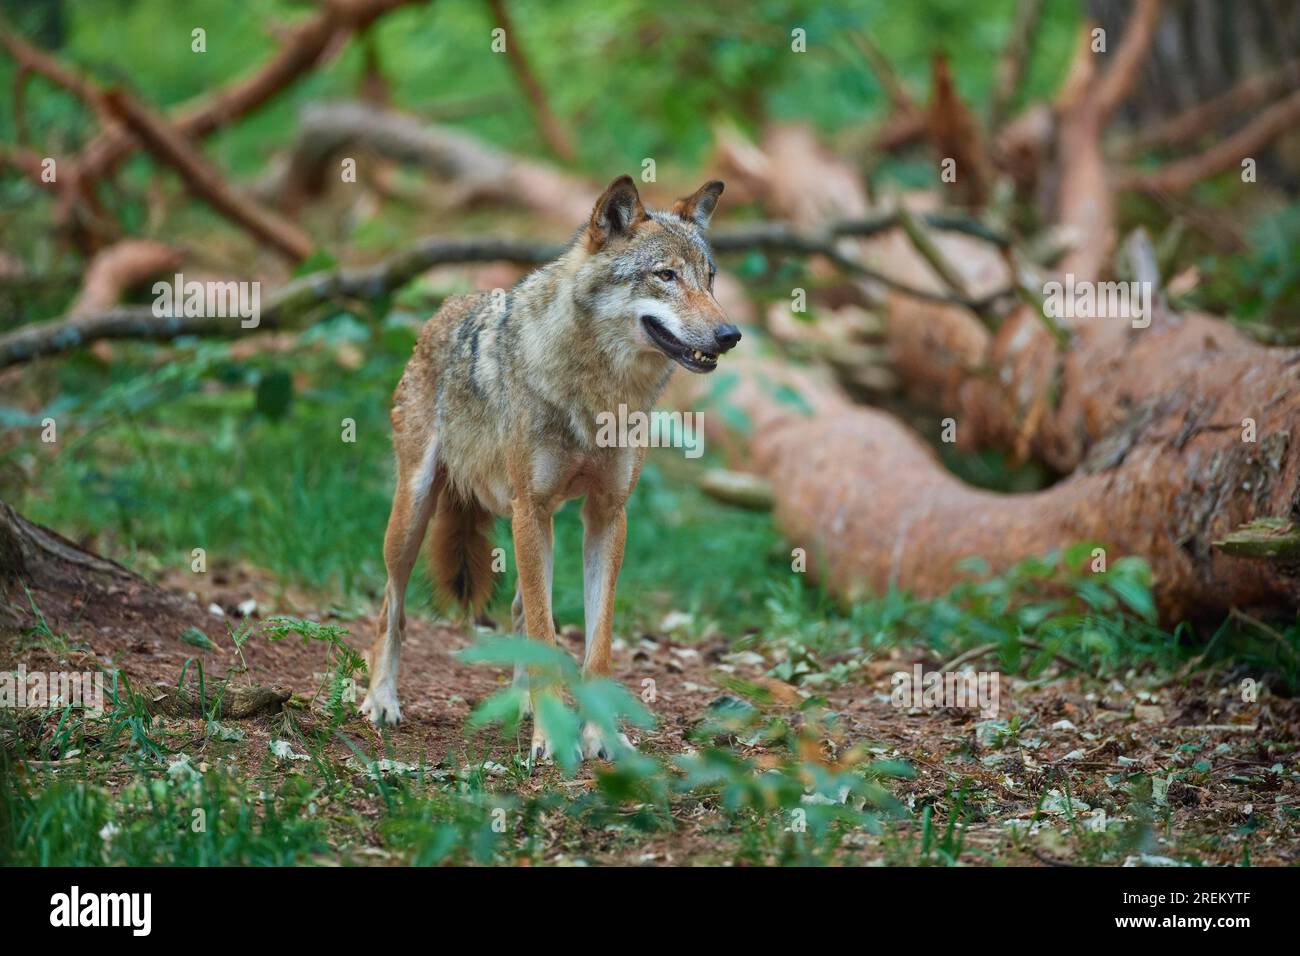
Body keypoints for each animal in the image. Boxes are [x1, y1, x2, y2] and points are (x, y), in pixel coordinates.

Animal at [360, 175, 740, 762]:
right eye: (665, 276)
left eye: (710, 278)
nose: (730, 334)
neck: (599, 392)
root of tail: (448, 304)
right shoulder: (531, 506)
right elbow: (545, 632)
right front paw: (553, 736)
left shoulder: (606, 514)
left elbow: (594, 645)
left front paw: (600, 736)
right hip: (415, 514)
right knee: (391, 609)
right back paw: (382, 701)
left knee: (519, 608)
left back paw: (518, 705)